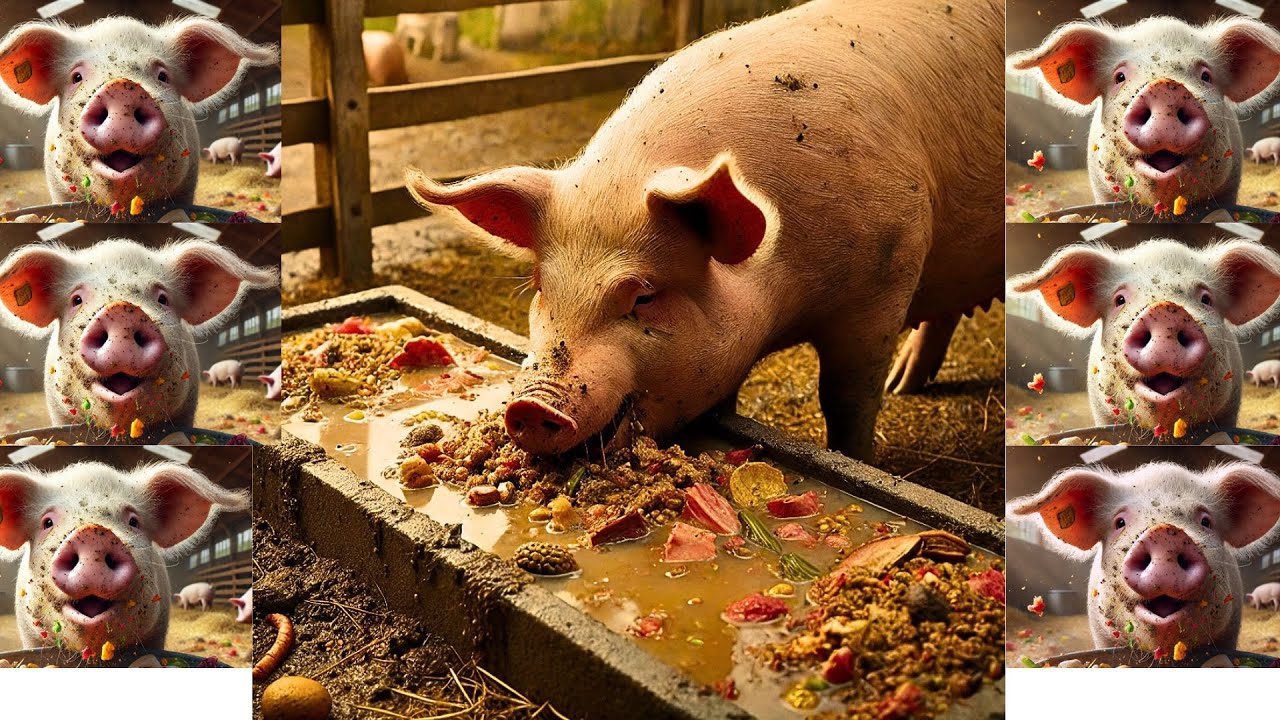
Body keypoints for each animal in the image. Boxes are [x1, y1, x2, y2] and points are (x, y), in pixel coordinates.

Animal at [403, 0, 1005, 461]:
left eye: (643, 296)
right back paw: (909, 382)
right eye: (540, 289)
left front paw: (858, 457)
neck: (786, 293)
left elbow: (845, 401)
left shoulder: (886, 277)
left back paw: (902, 384)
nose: (530, 405)